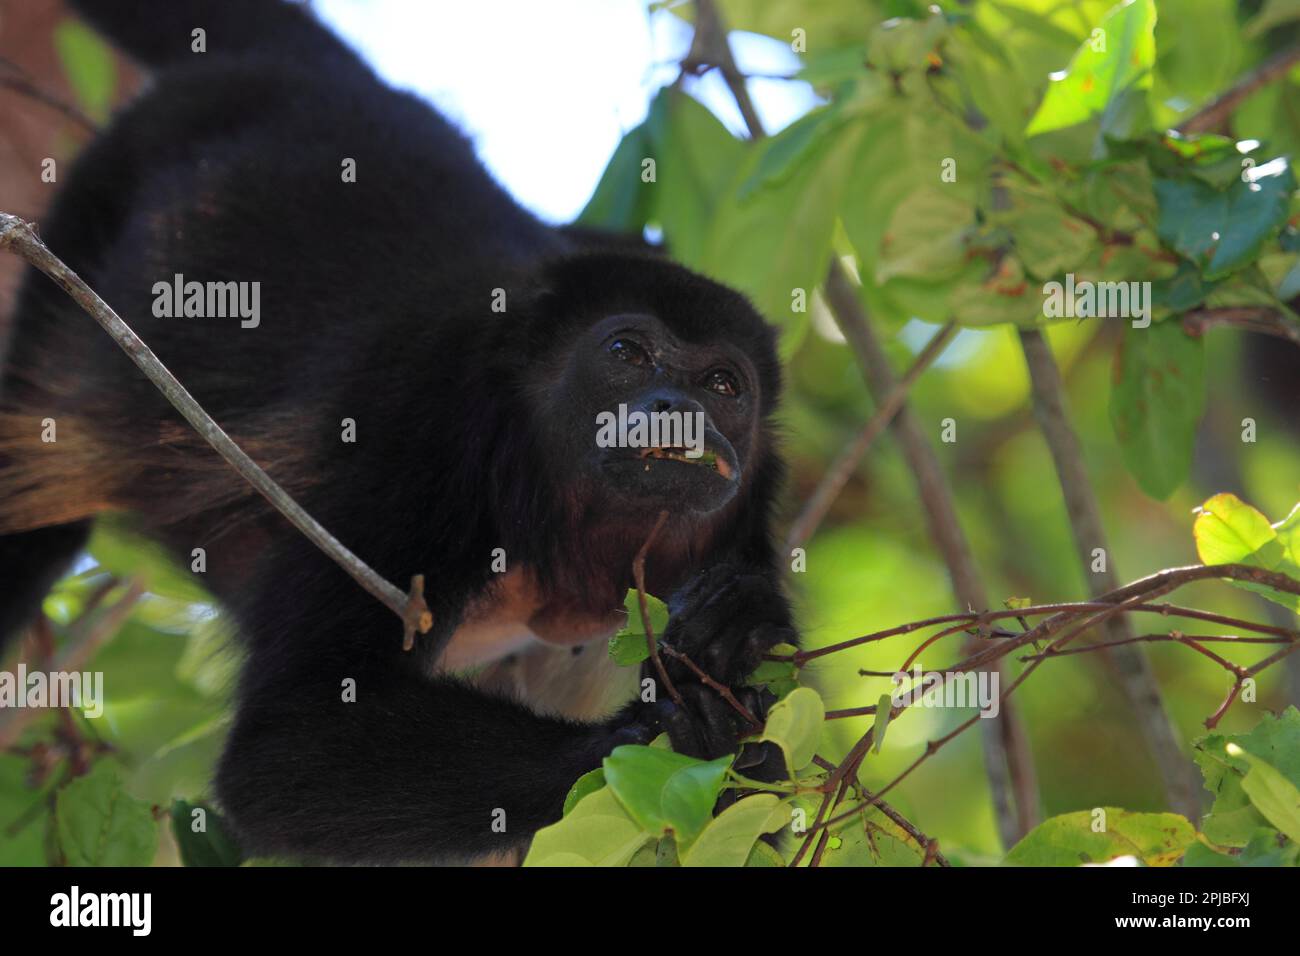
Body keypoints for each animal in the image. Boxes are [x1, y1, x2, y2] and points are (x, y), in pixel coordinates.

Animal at [0, 0, 797, 863]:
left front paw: (742, 625)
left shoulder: (750, 516)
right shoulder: (422, 433)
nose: (678, 408)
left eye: (723, 385)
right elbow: (287, 743)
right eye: (625, 353)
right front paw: (661, 730)